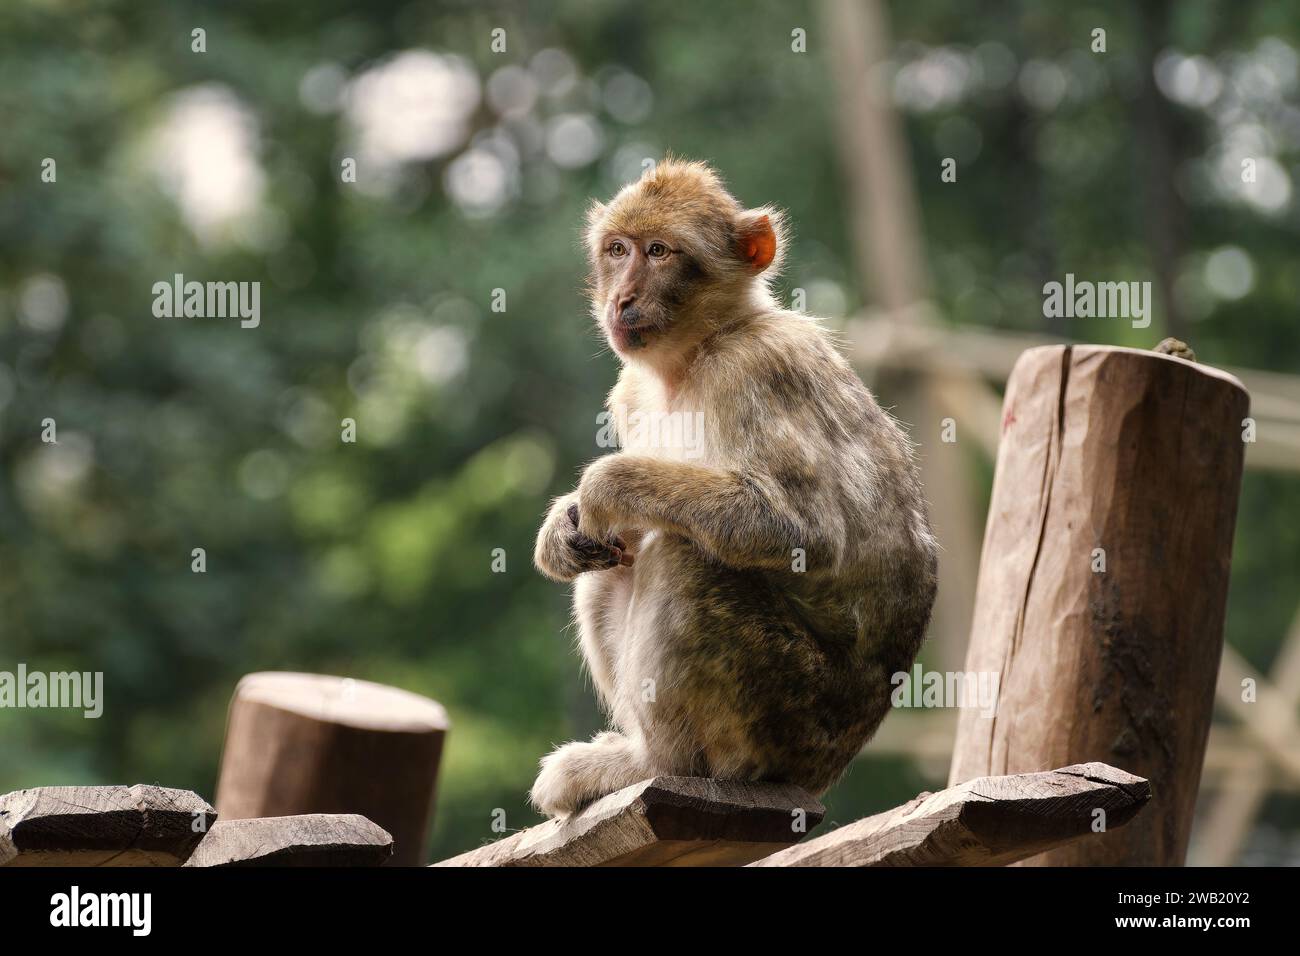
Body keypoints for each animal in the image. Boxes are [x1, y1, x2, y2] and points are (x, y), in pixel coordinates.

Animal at [530, 158, 938, 818]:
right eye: (618, 250)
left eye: (660, 251)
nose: (622, 298)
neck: (696, 354)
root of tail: (825, 771)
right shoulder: (630, 394)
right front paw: (561, 529)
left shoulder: (756, 367)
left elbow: (801, 531)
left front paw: (604, 484)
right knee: (617, 565)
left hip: (785, 714)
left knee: (683, 557)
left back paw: (653, 762)